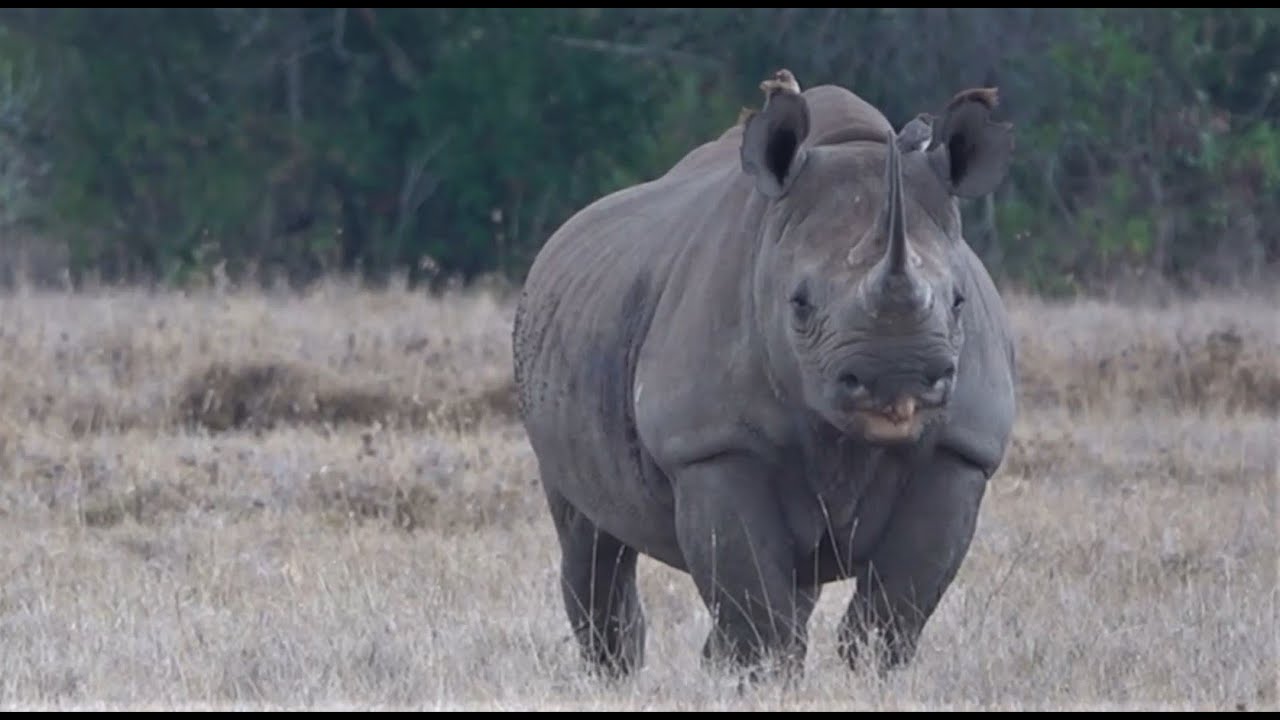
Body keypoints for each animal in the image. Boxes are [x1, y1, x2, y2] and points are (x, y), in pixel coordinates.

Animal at [511, 69, 1017, 681]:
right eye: (799, 304)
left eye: (959, 301)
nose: (898, 380)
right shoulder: (713, 445)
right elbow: (752, 597)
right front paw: (762, 681)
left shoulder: (960, 449)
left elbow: (897, 604)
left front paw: (864, 679)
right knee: (590, 538)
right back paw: (615, 676)